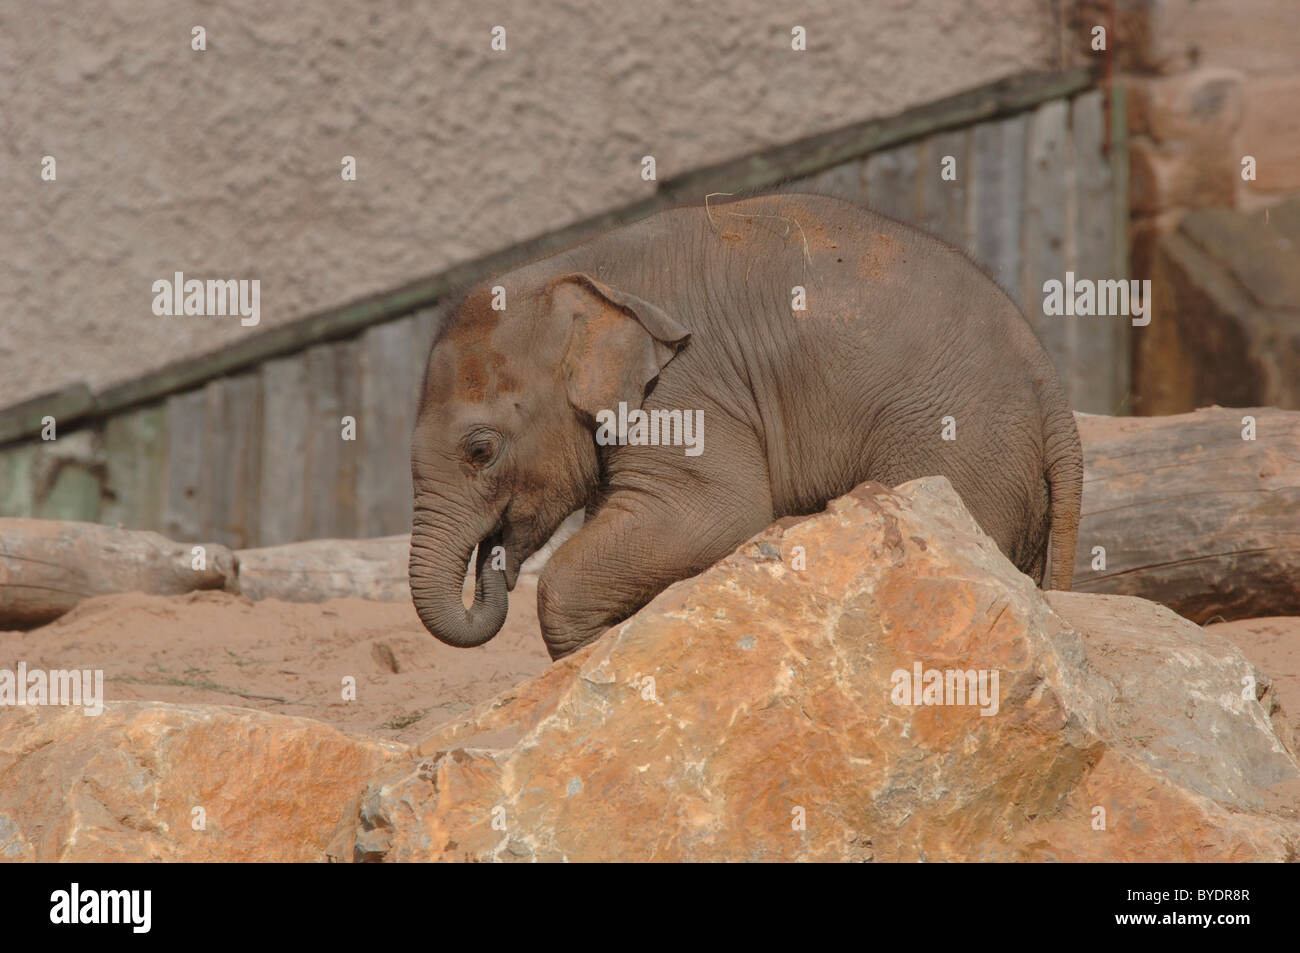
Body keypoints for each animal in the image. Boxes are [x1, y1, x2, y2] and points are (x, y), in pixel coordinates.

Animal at [409, 190, 1084, 660]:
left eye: (480, 449)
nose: (495, 556)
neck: (571, 268)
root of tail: (1052, 388)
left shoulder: (690, 389)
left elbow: (716, 513)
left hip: (959, 448)